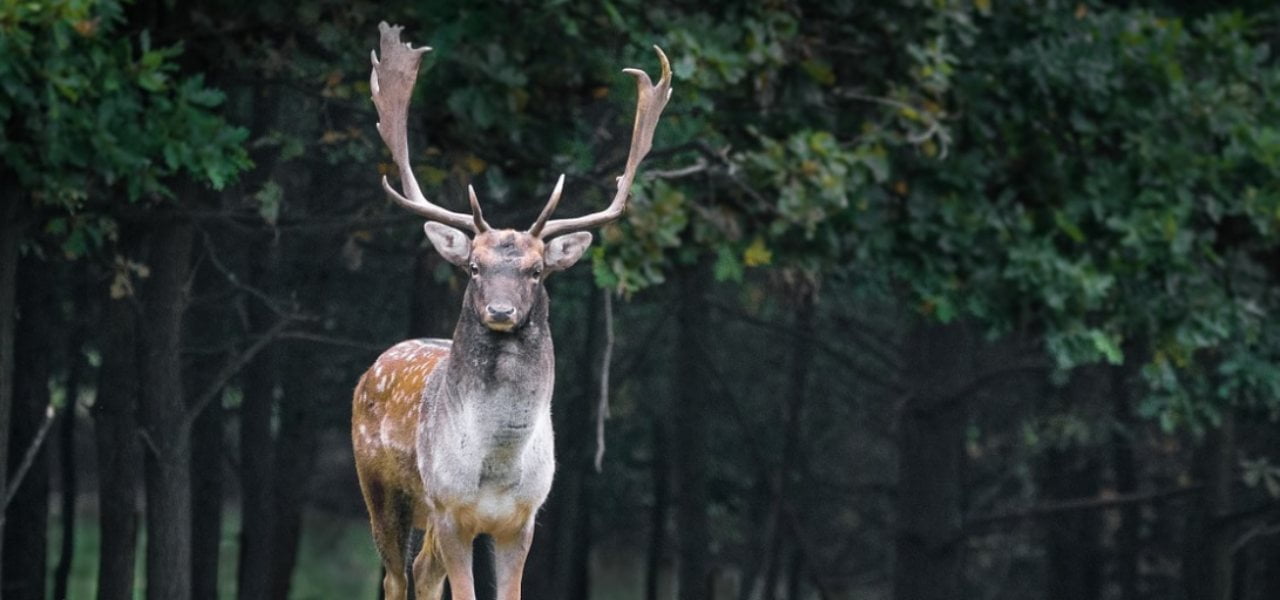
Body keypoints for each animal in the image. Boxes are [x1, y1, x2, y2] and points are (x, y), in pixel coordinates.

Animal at [352, 22, 671, 600]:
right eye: (473, 267)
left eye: (537, 270)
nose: (501, 310)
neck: (496, 469)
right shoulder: (451, 509)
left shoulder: (522, 521)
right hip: (383, 490)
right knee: (395, 577)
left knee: (422, 574)